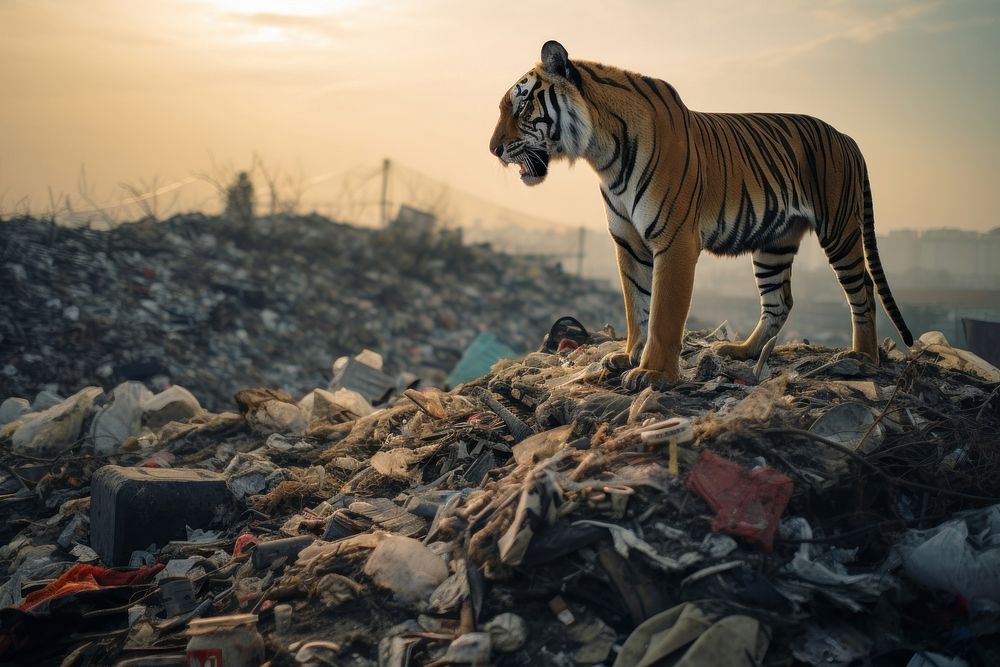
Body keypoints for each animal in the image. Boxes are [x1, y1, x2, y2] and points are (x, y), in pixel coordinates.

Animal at [489, 40, 913, 390]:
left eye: (522, 106)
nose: (493, 150)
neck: (602, 153)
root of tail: (847, 137)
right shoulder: (628, 242)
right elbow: (636, 304)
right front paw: (628, 356)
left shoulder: (675, 239)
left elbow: (663, 312)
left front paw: (652, 373)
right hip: (775, 243)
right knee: (780, 300)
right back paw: (742, 351)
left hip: (838, 230)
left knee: (863, 289)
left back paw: (863, 357)